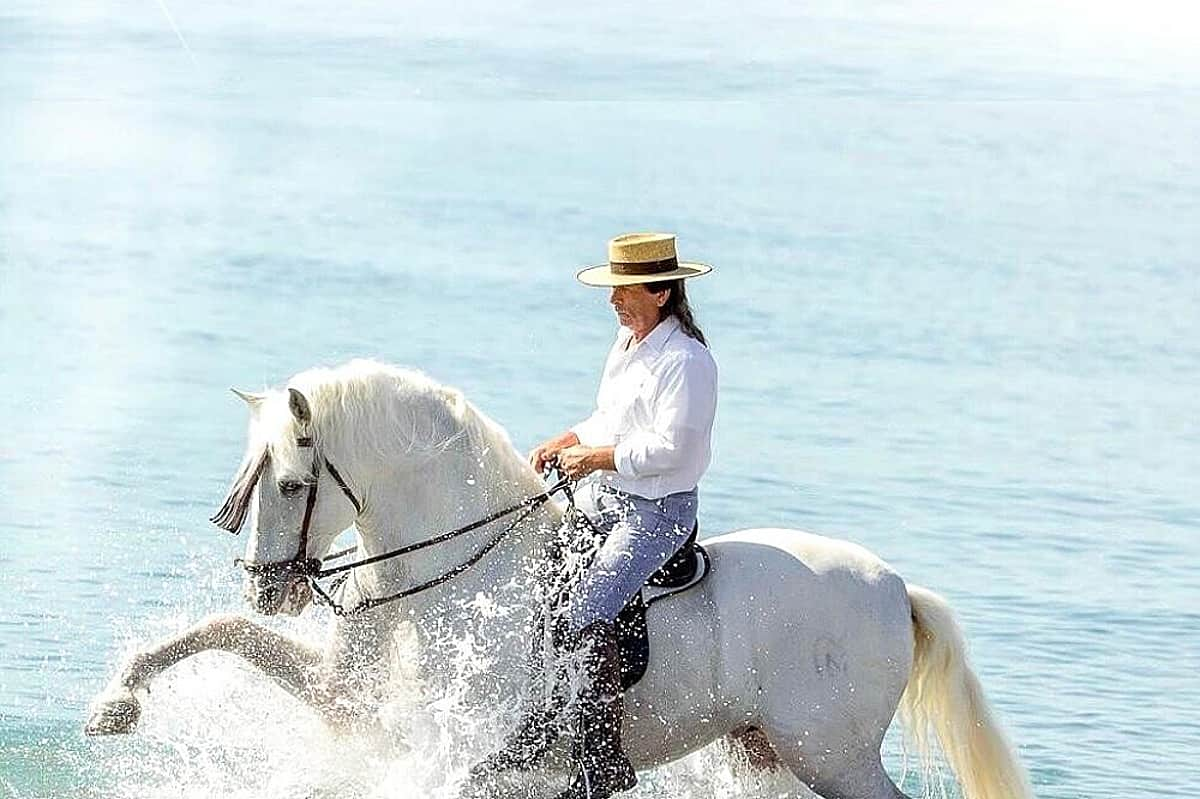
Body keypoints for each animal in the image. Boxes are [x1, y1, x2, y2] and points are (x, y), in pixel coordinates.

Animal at [88, 359, 1036, 796]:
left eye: (289, 483)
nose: (269, 586)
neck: (448, 584)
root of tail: (895, 588)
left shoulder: (463, 748)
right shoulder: (347, 701)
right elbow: (216, 635)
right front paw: (116, 702)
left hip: (831, 753)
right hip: (770, 753)